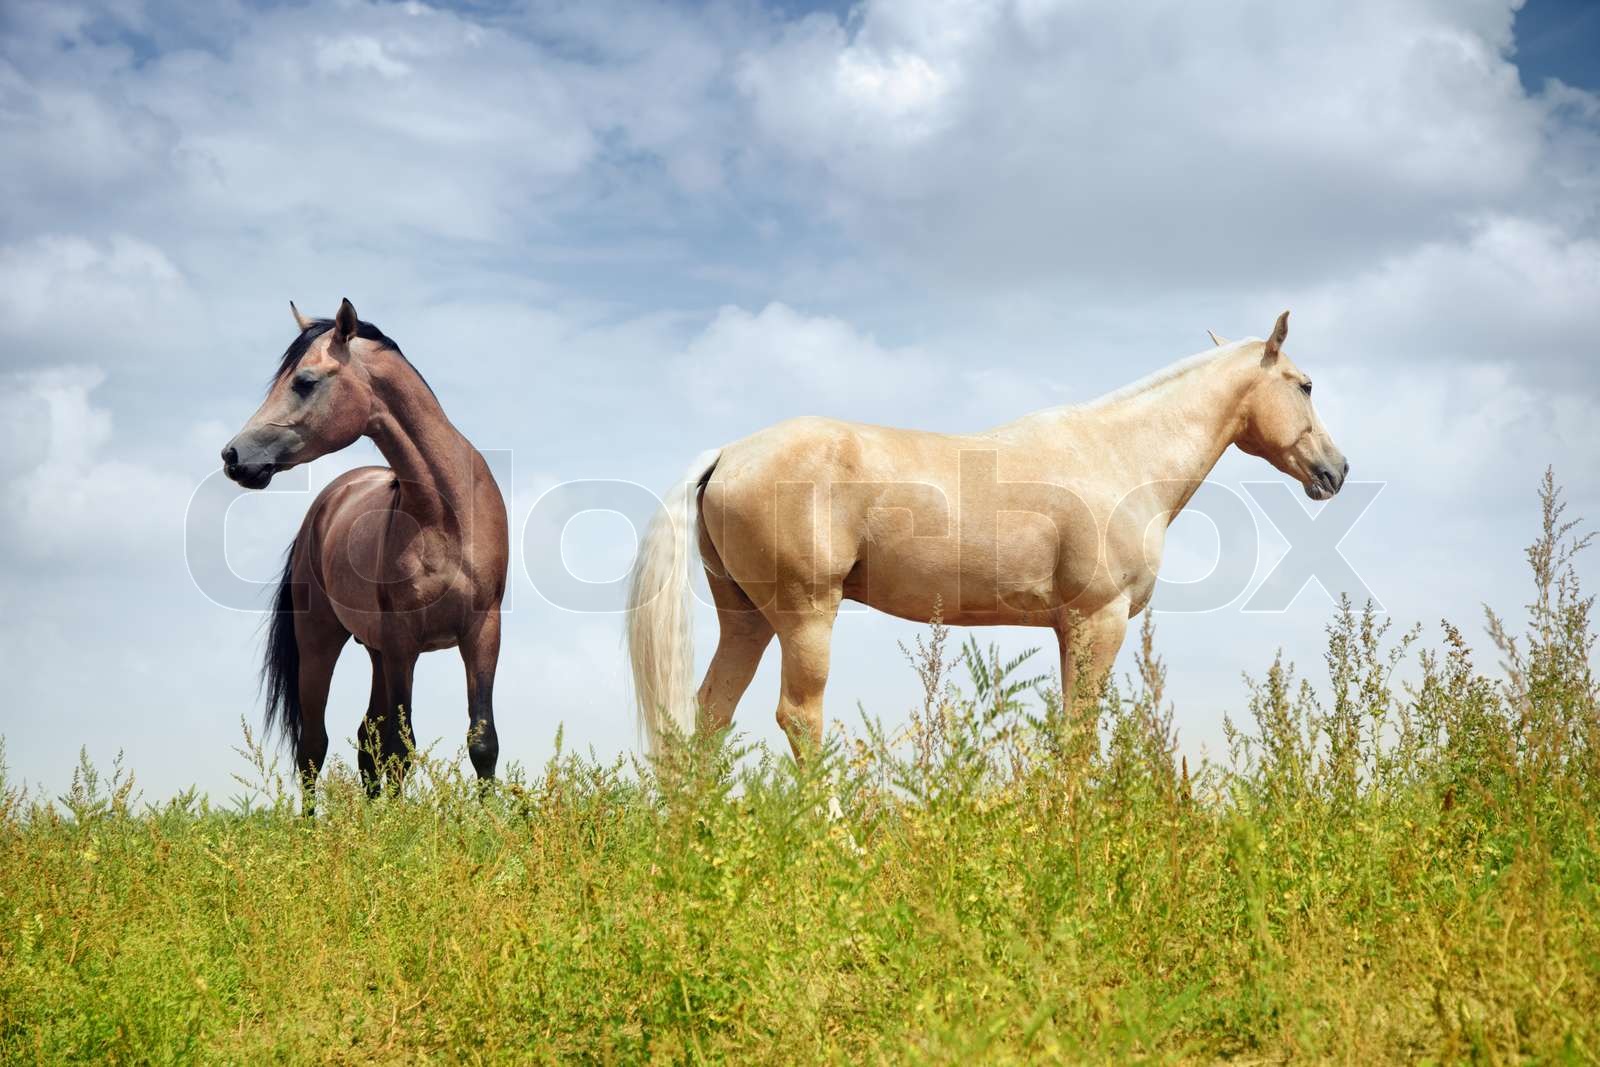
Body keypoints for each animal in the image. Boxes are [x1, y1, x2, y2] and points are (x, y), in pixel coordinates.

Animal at [221, 299, 509, 800]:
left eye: (304, 381)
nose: (233, 457)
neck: (445, 514)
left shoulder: (482, 632)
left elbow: (481, 740)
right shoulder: (401, 643)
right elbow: (400, 746)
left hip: (375, 652)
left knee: (363, 745)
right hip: (321, 642)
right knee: (314, 747)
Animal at [626, 311, 1348, 759]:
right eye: (1306, 385)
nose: (1335, 470)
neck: (1117, 454)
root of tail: (728, 454)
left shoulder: (1068, 628)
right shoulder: (1100, 619)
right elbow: (1080, 731)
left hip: (747, 619)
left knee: (708, 715)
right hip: (805, 616)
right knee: (799, 718)